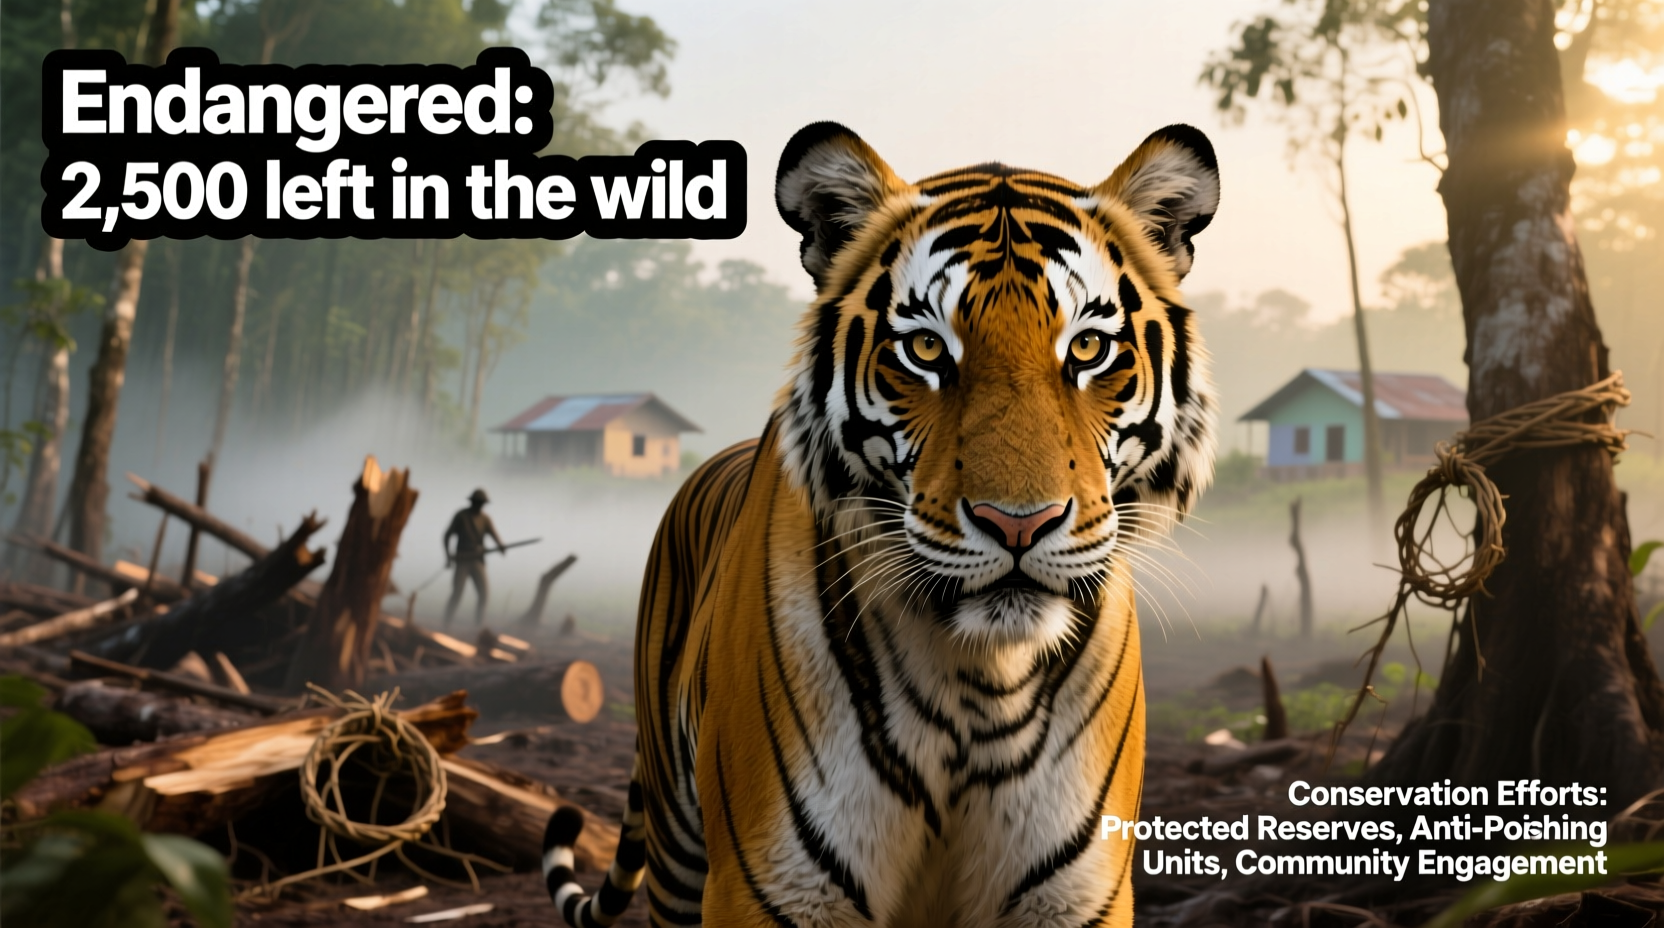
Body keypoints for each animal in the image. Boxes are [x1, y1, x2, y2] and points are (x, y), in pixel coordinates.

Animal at [542, 120, 1220, 928]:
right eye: (926, 348)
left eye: (1086, 347)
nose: (1017, 525)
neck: (977, 682)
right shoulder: (769, 889)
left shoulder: (1075, 895)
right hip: (677, 845)